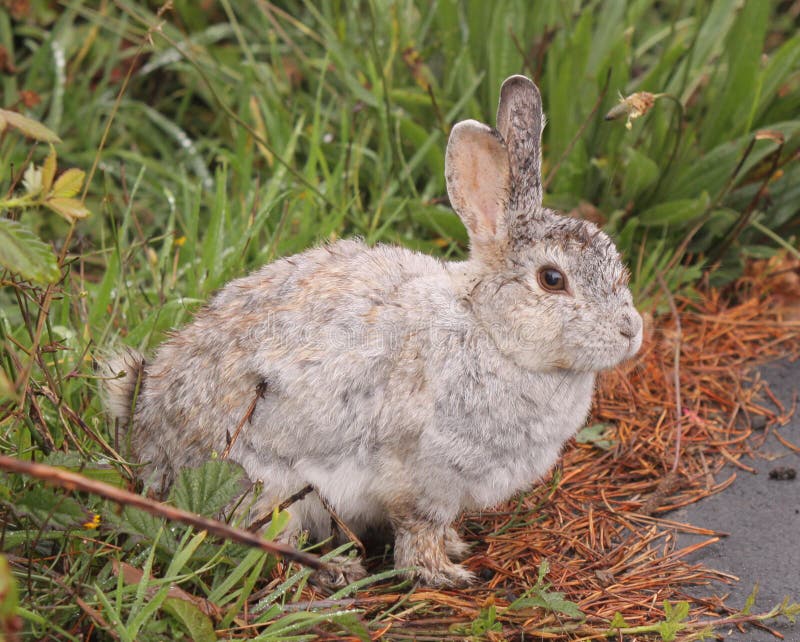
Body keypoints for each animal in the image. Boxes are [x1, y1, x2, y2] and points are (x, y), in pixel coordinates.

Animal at [102, 75, 643, 589]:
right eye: (552, 279)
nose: (630, 331)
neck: (488, 330)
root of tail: (148, 437)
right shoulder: (424, 476)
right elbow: (419, 528)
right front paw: (442, 573)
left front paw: (455, 548)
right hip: (267, 485)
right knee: (261, 545)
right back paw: (333, 571)